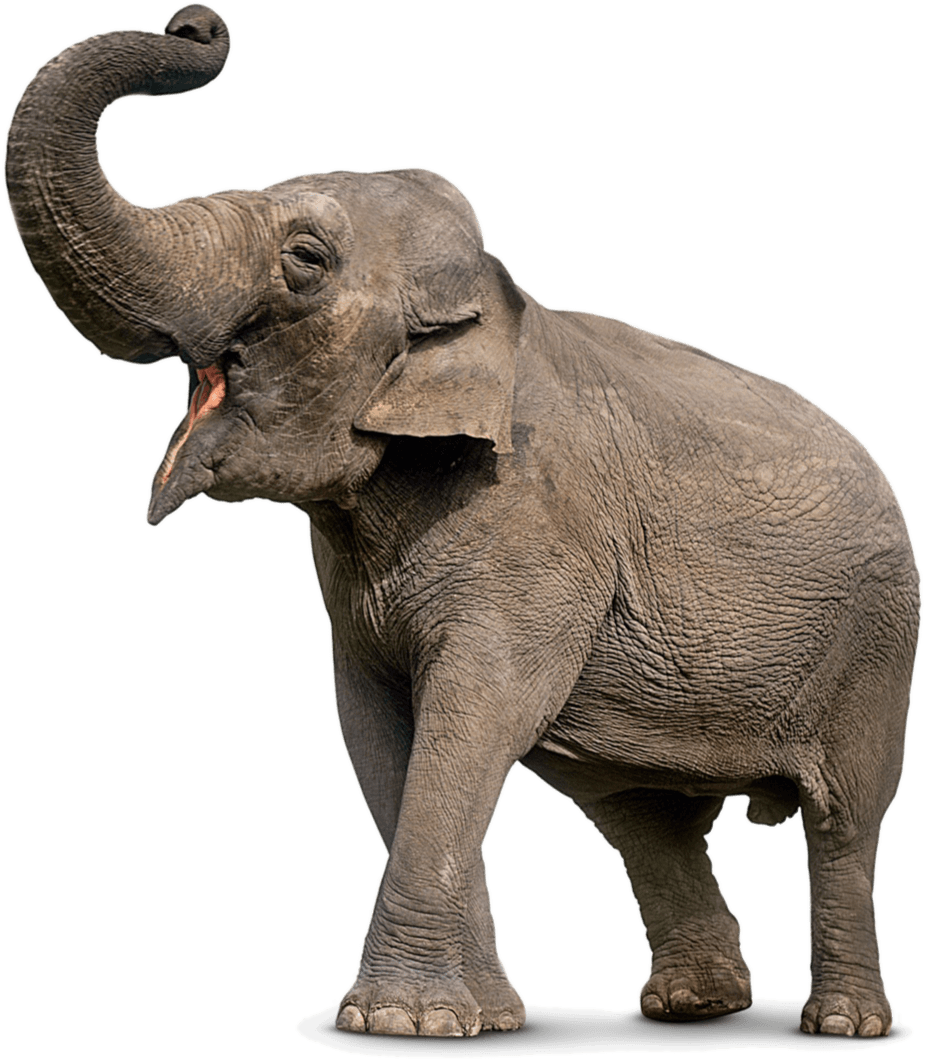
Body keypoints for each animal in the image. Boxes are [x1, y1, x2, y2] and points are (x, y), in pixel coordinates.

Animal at [6, 3, 919, 1041]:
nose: (196, 25)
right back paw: (692, 1007)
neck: (493, 297)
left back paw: (841, 1024)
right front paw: (473, 1020)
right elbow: (376, 726)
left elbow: (478, 709)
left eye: (305, 261)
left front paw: (396, 1023)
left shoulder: (536, 521)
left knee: (843, 814)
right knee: (644, 815)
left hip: (875, 643)